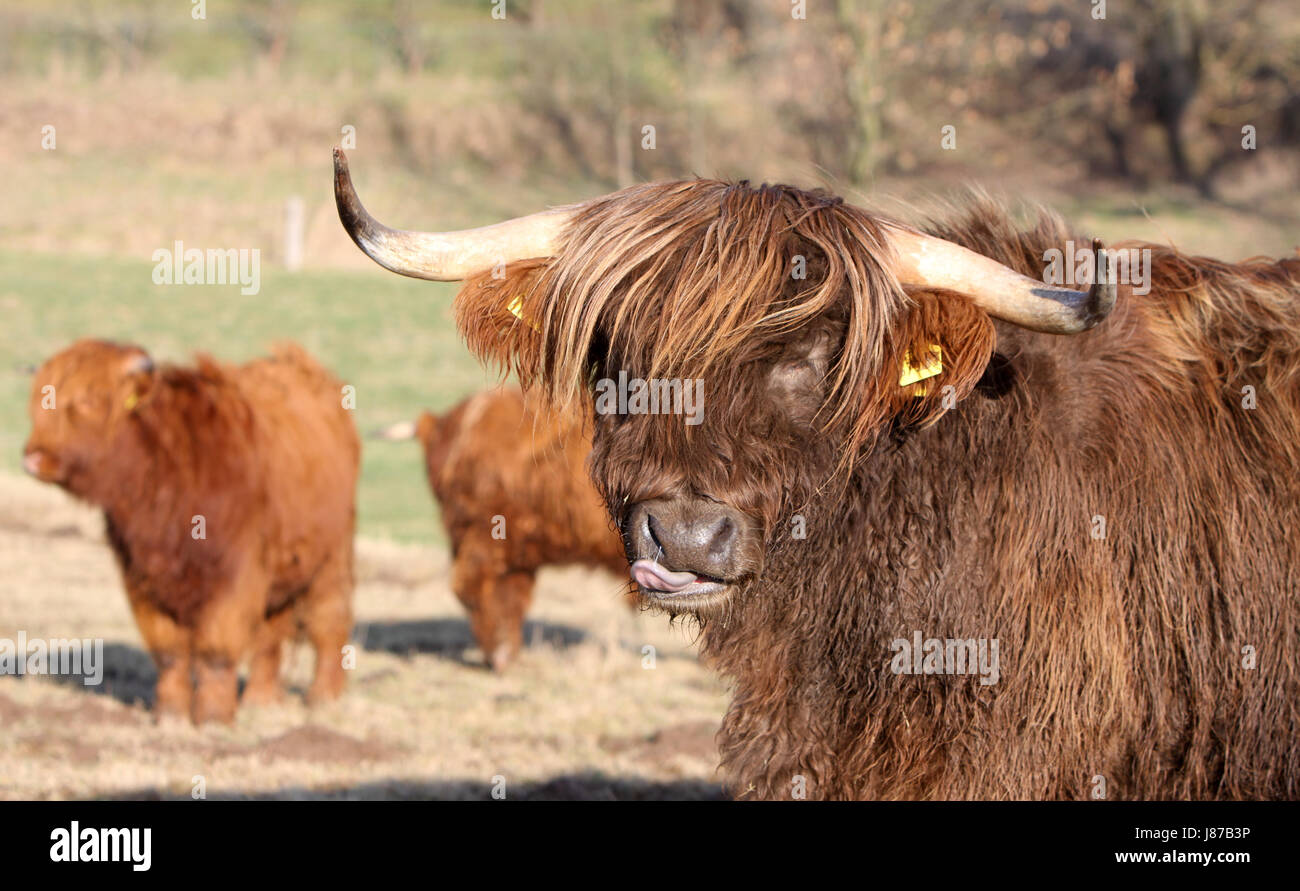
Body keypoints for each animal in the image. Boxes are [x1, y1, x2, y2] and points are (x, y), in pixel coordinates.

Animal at [23, 339, 360, 725]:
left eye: (88, 401)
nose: (33, 458)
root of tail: (299, 364)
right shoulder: (140, 579)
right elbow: (169, 651)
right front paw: (170, 715)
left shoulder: (236, 575)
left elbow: (215, 650)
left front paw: (213, 716)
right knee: (271, 634)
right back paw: (260, 700)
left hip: (332, 555)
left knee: (329, 620)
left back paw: (323, 697)